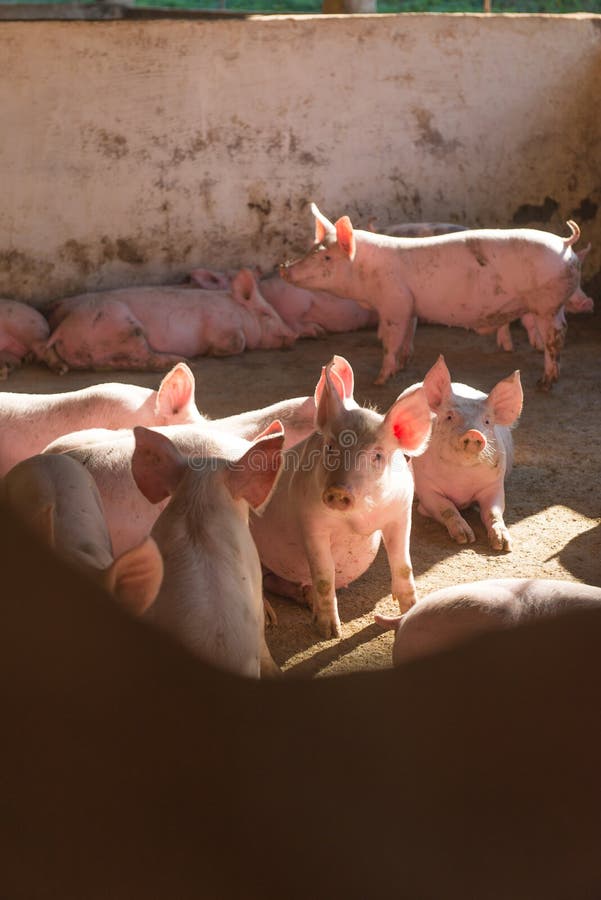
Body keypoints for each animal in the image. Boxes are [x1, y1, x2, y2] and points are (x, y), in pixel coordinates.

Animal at [39, 269, 296, 374]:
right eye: (266, 314)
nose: (294, 334)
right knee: (144, 358)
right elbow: (237, 342)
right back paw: (184, 362)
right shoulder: (220, 326)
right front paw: (212, 352)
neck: (236, 311)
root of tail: (61, 329)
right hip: (123, 327)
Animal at [250, 355, 433, 639]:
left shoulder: (401, 512)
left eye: (377, 455)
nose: (338, 491)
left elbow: (404, 566)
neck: (358, 521)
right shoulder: (310, 521)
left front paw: (412, 608)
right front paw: (330, 633)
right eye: (330, 447)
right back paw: (271, 619)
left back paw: (305, 598)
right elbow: (324, 577)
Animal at [280, 203, 585, 389]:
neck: (367, 272)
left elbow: (391, 341)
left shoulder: (394, 303)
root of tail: (564, 243)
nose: (284, 268)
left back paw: (544, 383)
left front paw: (380, 380)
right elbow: (407, 335)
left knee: (555, 338)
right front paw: (402, 366)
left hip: (547, 305)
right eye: (313, 249)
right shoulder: (410, 307)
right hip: (552, 305)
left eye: (327, 257)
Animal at [411, 355, 523, 552]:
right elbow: (446, 508)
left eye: (487, 421)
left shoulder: (493, 484)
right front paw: (465, 538)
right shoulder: (426, 487)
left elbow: (493, 512)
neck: (461, 481)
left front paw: (503, 546)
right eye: (449, 417)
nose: (473, 432)